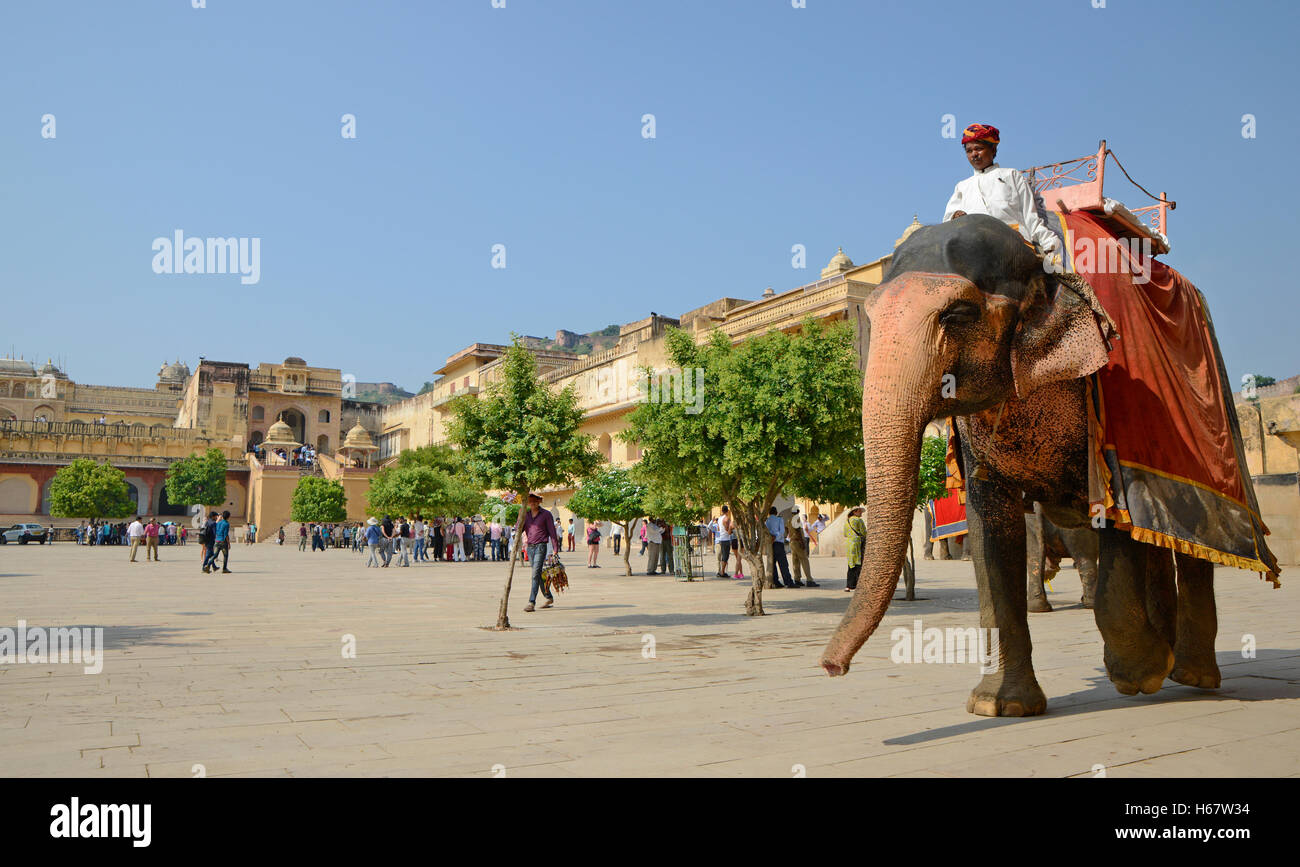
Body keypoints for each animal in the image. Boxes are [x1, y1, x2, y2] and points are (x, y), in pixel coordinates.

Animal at [821, 214, 1225, 717]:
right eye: (871, 320)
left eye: (957, 315)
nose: (831, 668)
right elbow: (991, 532)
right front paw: (1000, 706)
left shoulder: (1107, 398)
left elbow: (1113, 510)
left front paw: (1139, 674)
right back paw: (1173, 662)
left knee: (1191, 534)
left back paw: (1190, 674)